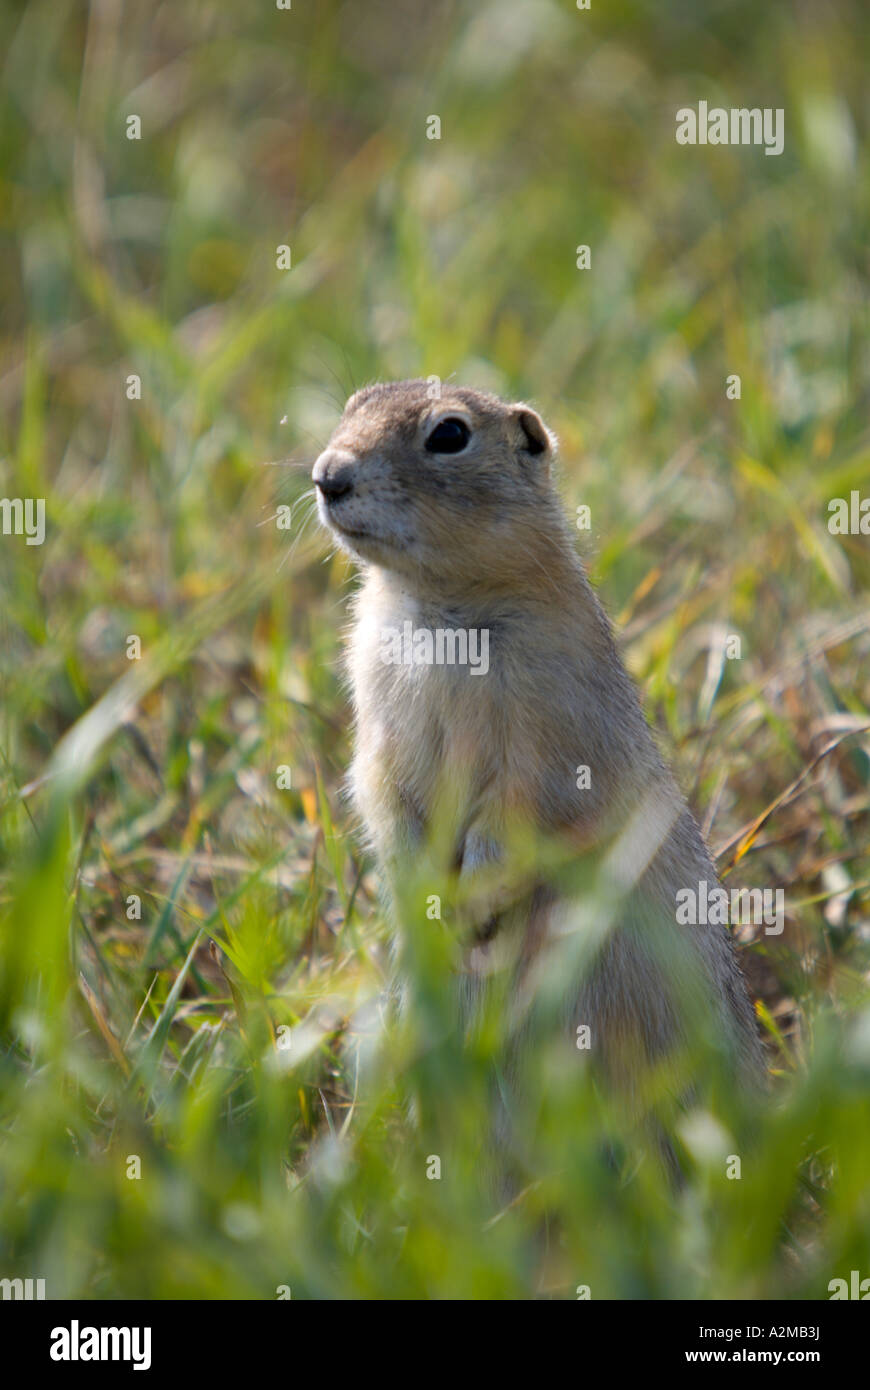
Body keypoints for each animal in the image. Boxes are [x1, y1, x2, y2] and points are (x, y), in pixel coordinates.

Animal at [312, 379, 765, 1092]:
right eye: (356, 402)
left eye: (449, 434)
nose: (327, 475)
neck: (438, 610)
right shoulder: (375, 712)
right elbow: (377, 787)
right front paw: (418, 896)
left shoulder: (547, 725)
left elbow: (518, 809)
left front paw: (468, 905)